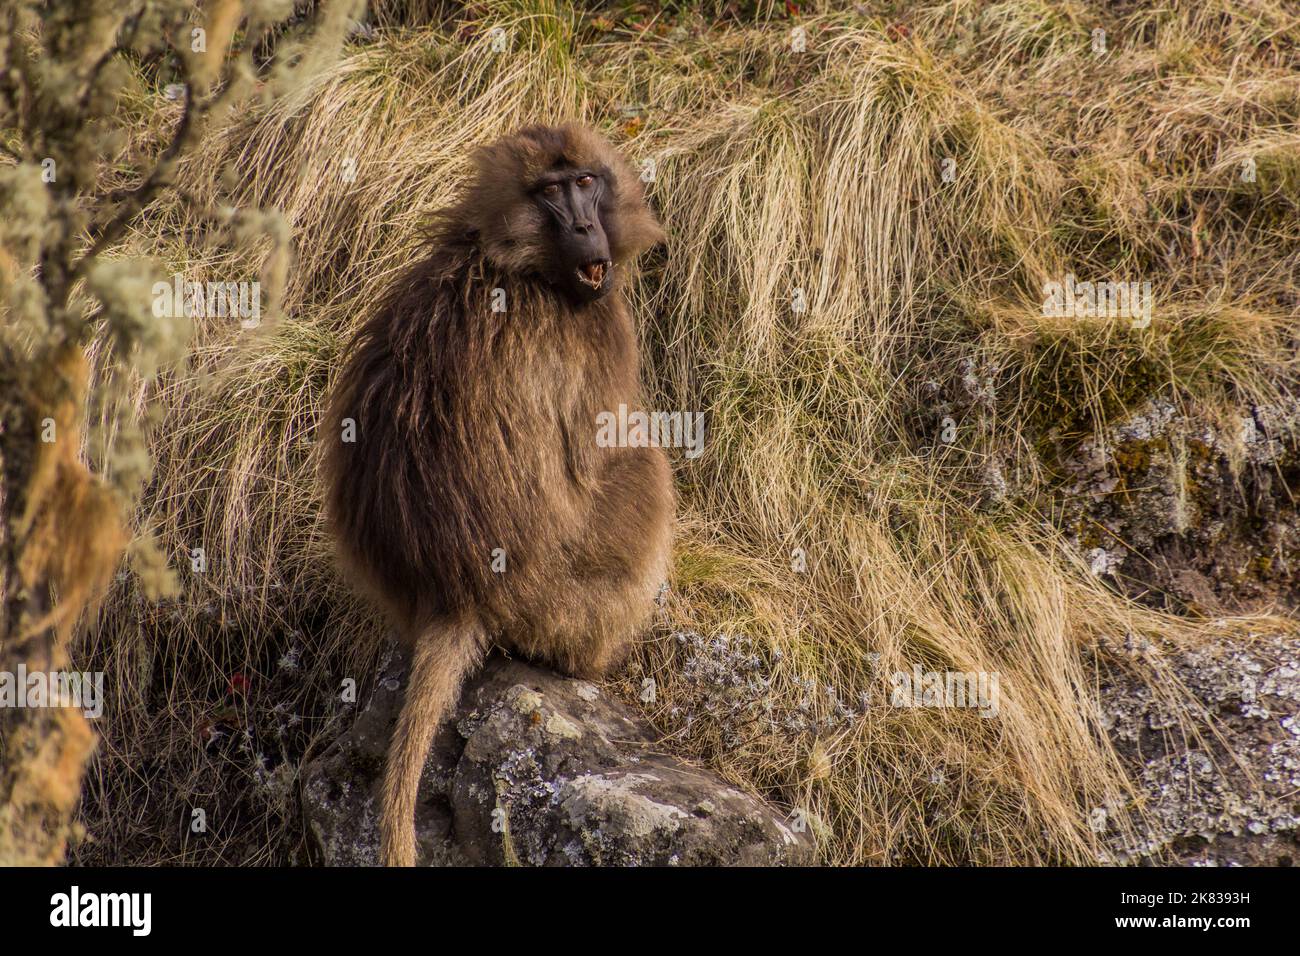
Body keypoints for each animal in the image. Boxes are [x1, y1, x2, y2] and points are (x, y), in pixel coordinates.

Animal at [321, 123, 674, 867]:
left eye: (585, 182)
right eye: (550, 192)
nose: (582, 225)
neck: (508, 258)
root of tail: (456, 596)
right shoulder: (599, 332)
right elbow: (601, 453)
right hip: (558, 595)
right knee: (646, 472)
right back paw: (593, 662)